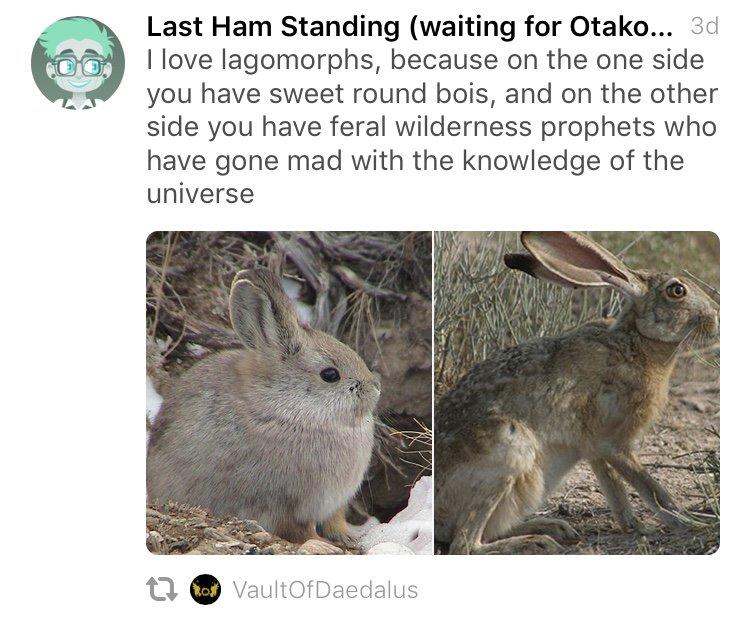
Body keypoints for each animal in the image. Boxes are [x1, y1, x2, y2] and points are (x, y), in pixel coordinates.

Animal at [147, 266, 381, 553]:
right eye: (330, 375)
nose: (375, 388)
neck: (289, 407)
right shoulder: (284, 503)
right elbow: (299, 530)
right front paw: (325, 545)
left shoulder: (333, 503)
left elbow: (335, 521)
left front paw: (349, 538)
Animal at [435, 232, 719, 554]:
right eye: (677, 290)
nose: (715, 316)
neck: (635, 343)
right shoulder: (612, 440)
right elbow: (651, 488)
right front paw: (689, 522)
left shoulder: (593, 447)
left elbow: (614, 488)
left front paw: (635, 526)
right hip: (509, 445)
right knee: (465, 545)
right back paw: (539, 541)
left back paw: (553, 527)